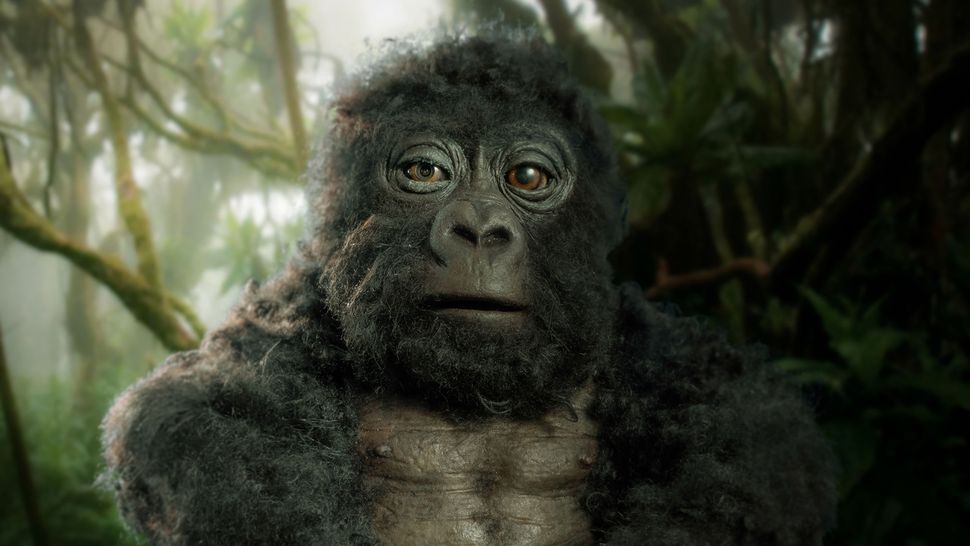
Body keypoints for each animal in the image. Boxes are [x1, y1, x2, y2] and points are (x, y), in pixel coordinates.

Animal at [101, 31, 836, 545]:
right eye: (425, 171)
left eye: (529, 178)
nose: (479, 229)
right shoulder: (260, 363)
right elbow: (214, 423)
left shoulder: (707, 392)